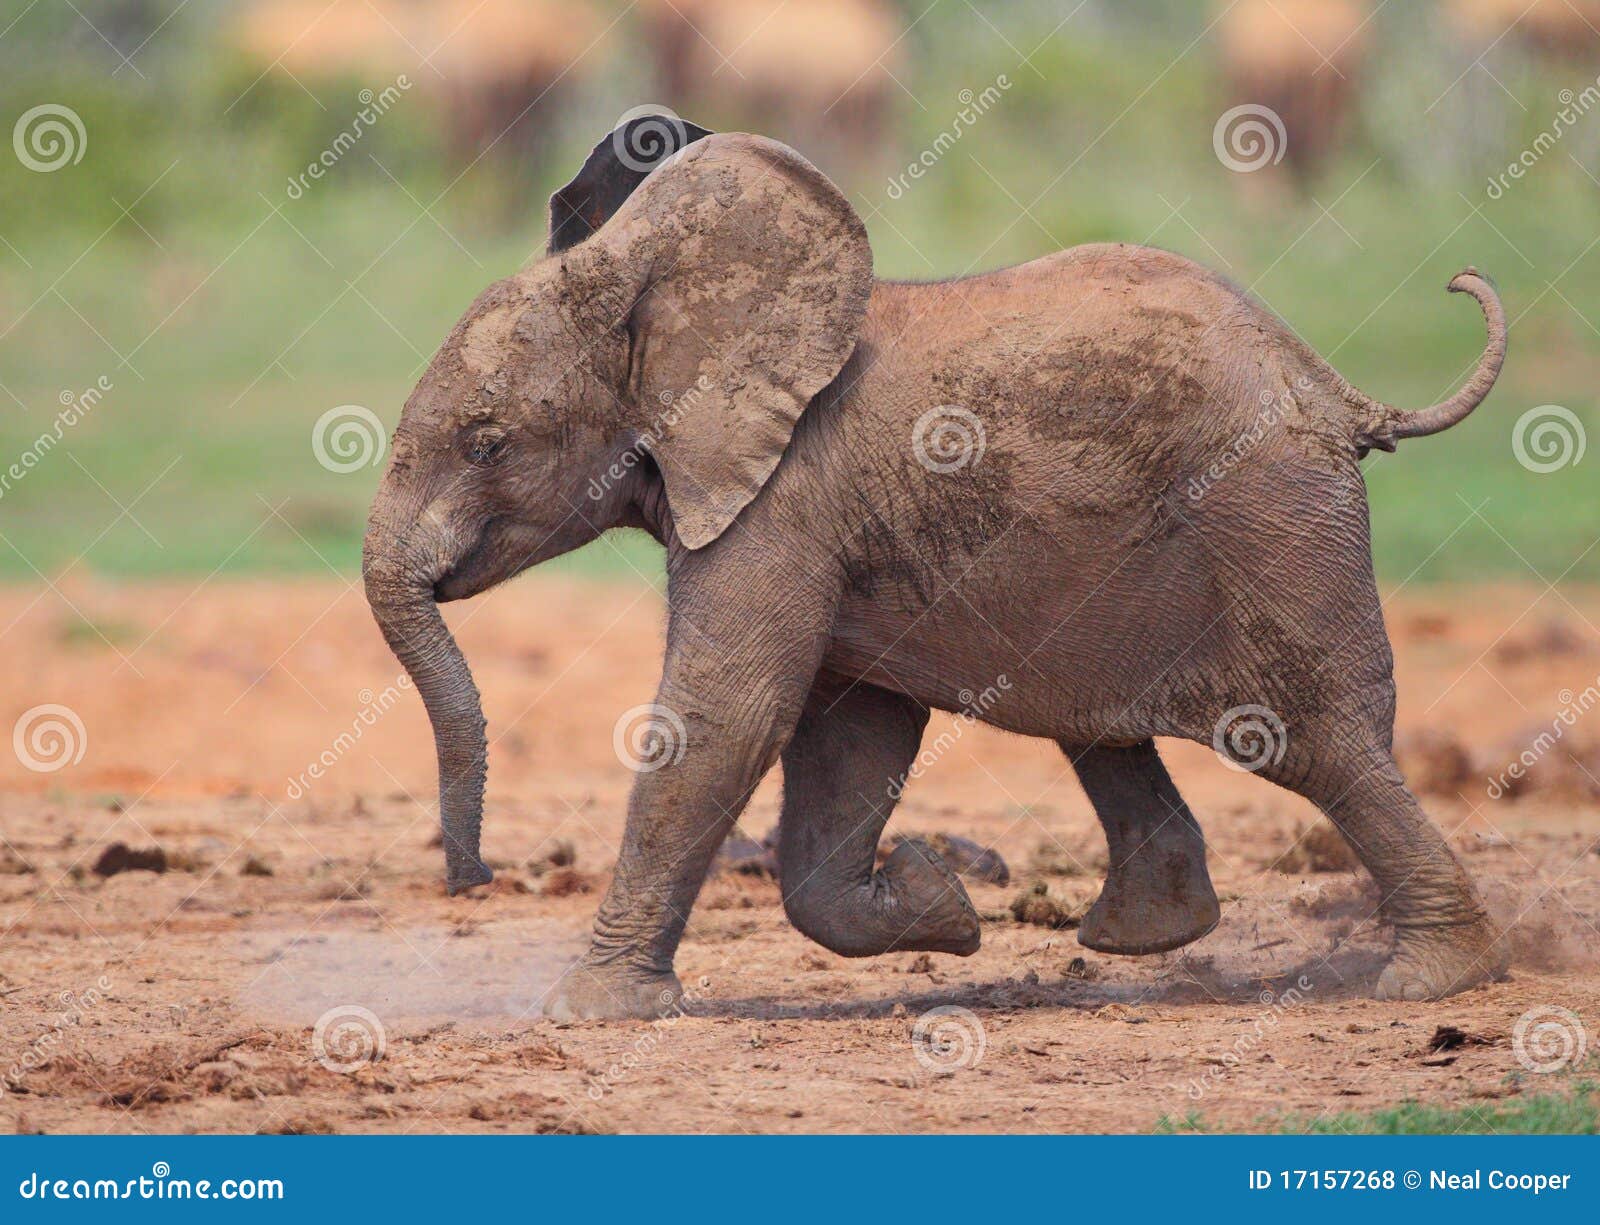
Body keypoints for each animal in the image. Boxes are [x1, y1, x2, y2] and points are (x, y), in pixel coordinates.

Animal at [363, 115, 1509, 1021]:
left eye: (485, 443)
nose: (474, 879)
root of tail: (1330, 385)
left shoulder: (782, 500)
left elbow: (728, 714)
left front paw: (589, 1009)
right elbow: (842, 737)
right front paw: (942, 909)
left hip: (1267, 518)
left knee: (1314, 739)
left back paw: (1432, 980)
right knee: (1110, 724)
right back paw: (1143, 938)